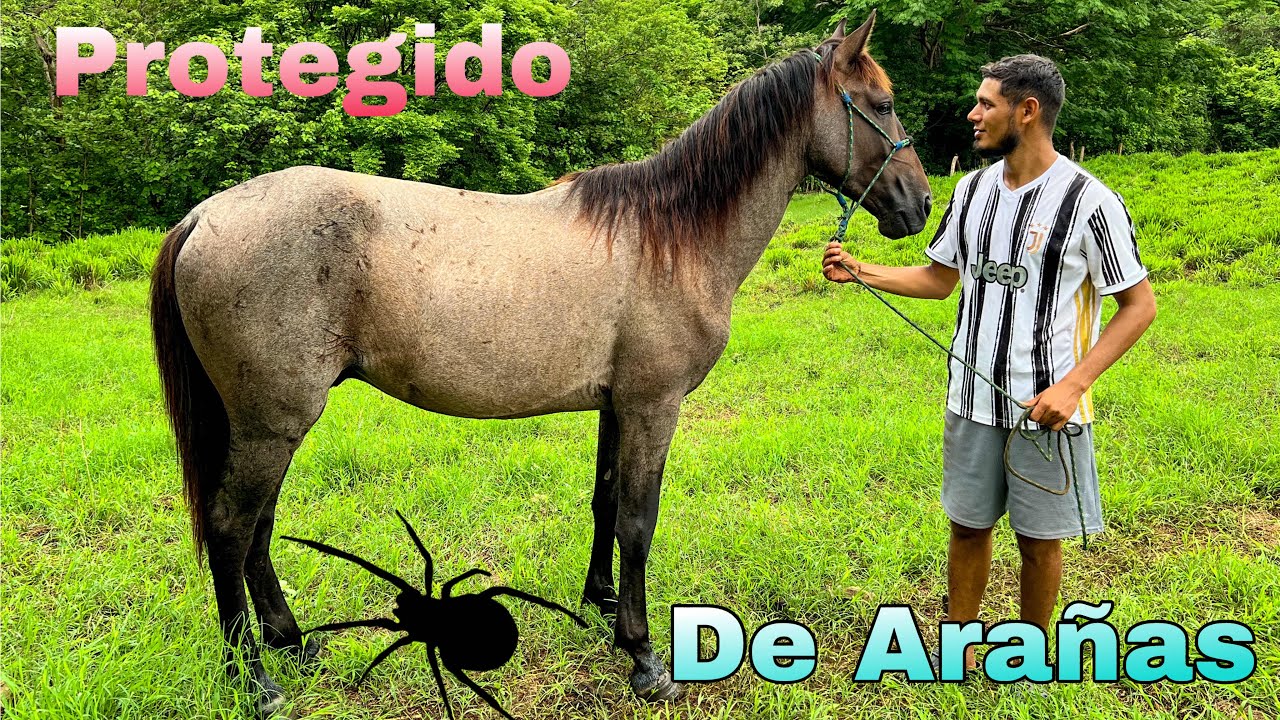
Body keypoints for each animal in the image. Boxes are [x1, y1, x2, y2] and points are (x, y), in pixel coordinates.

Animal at [150, 12, 930, 715]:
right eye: (881, 103)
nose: (920, 205)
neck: (671, 237)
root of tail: (205, 215)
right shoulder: (654, 404)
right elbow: (639, 521)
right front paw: (645, 659)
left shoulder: (618, 405)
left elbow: (607, 504)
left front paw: (603, 604)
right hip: (271, 422)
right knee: (231, 527)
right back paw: (254, 678)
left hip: (268, 424)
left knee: (256, 528)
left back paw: (292, 642)